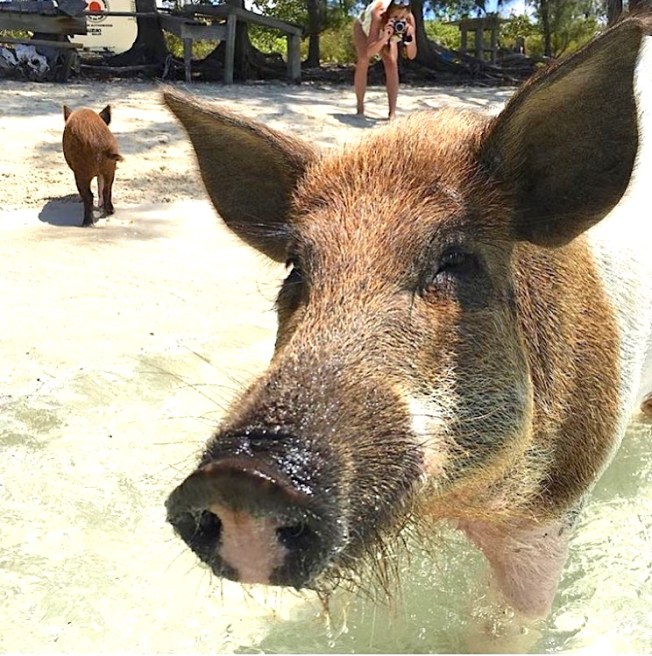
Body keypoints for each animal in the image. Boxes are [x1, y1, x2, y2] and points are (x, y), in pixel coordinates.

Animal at [163, 12, 652, 620]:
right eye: (296, 267)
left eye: (455, 261)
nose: (241, 475)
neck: (455, 504)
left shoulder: (549, 516)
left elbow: (514, 618)